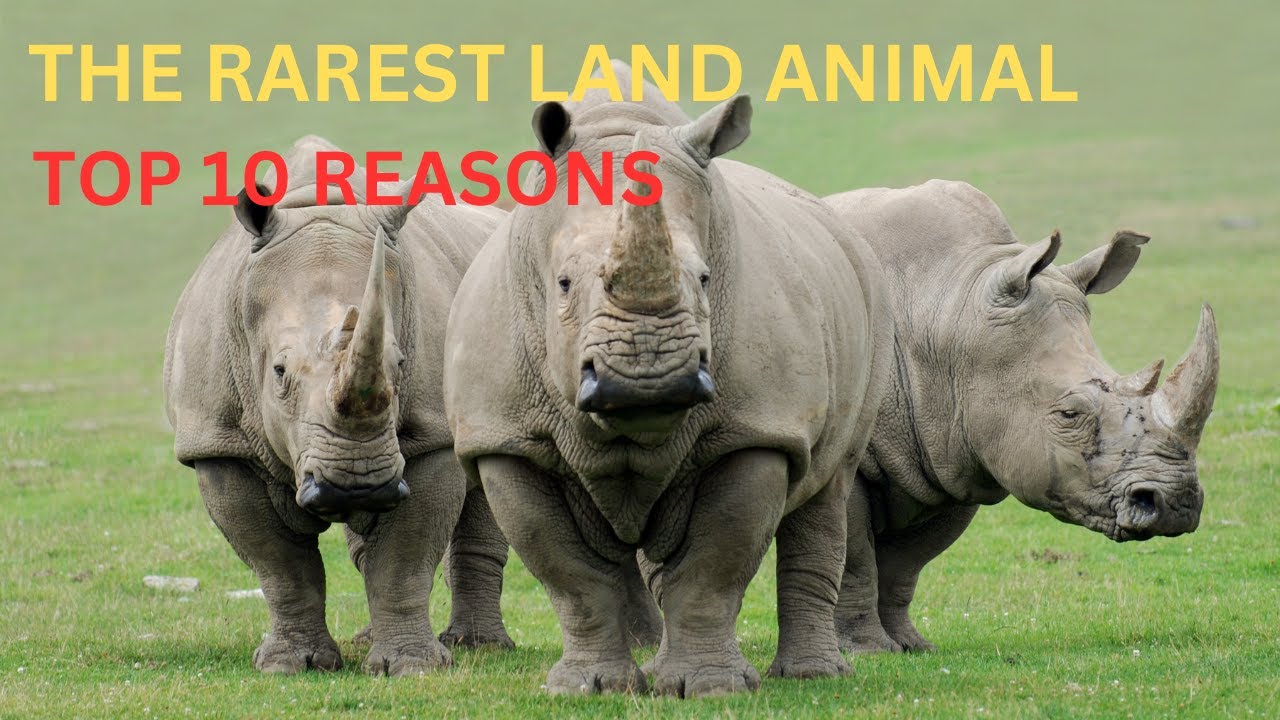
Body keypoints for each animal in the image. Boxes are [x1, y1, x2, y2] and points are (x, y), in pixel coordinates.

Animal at [164, 137, 511, 676]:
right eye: (279, 372)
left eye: (400, 362)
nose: (358, 483)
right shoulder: (218, 443)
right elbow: (280, 564)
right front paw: (290, 665)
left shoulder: (431, 432)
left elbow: (406, 557)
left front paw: (412, 667)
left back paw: (479, 647)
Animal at [444, 64, 890, 697]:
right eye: (562, 283)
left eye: (704, 278)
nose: (646, 380)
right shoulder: (507, 439)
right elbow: (569, 575)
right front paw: (589, 688)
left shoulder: (753, 428)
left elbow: (713, 565)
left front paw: (709, 688)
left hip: (871, 297)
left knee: (830, 482)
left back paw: (812, 676)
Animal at [824, 180, 1219, 653]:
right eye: (1069, 414)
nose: (1176, 505)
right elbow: (854, 559)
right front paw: (870, 651)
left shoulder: (950, 454)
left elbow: (907, 563)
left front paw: (913, 648)